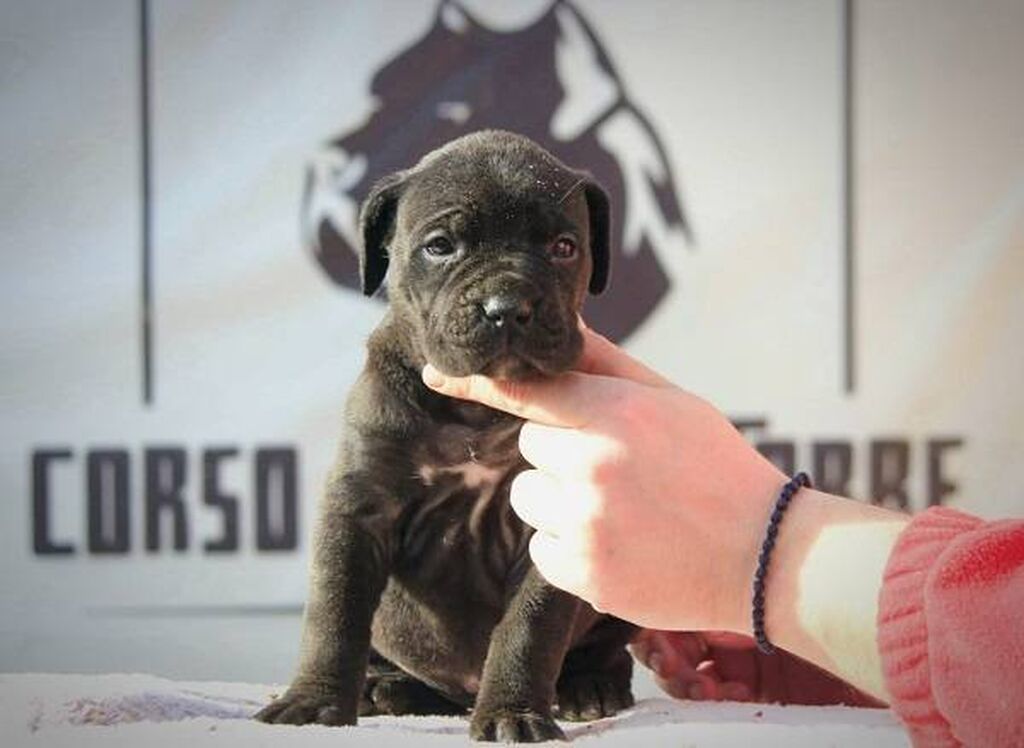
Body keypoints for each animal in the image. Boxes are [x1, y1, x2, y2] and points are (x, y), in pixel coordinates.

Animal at [256, 129, 634, 741]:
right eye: (440, 247)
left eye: (564, 247)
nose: (508, 307)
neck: (474, 410)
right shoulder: (358, 506)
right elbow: (335, 614)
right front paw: (313, 702)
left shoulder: (552, 523)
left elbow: (529, 628)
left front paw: (512, 713)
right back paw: (386, 690)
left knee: (607, 647)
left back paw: (589, 687)